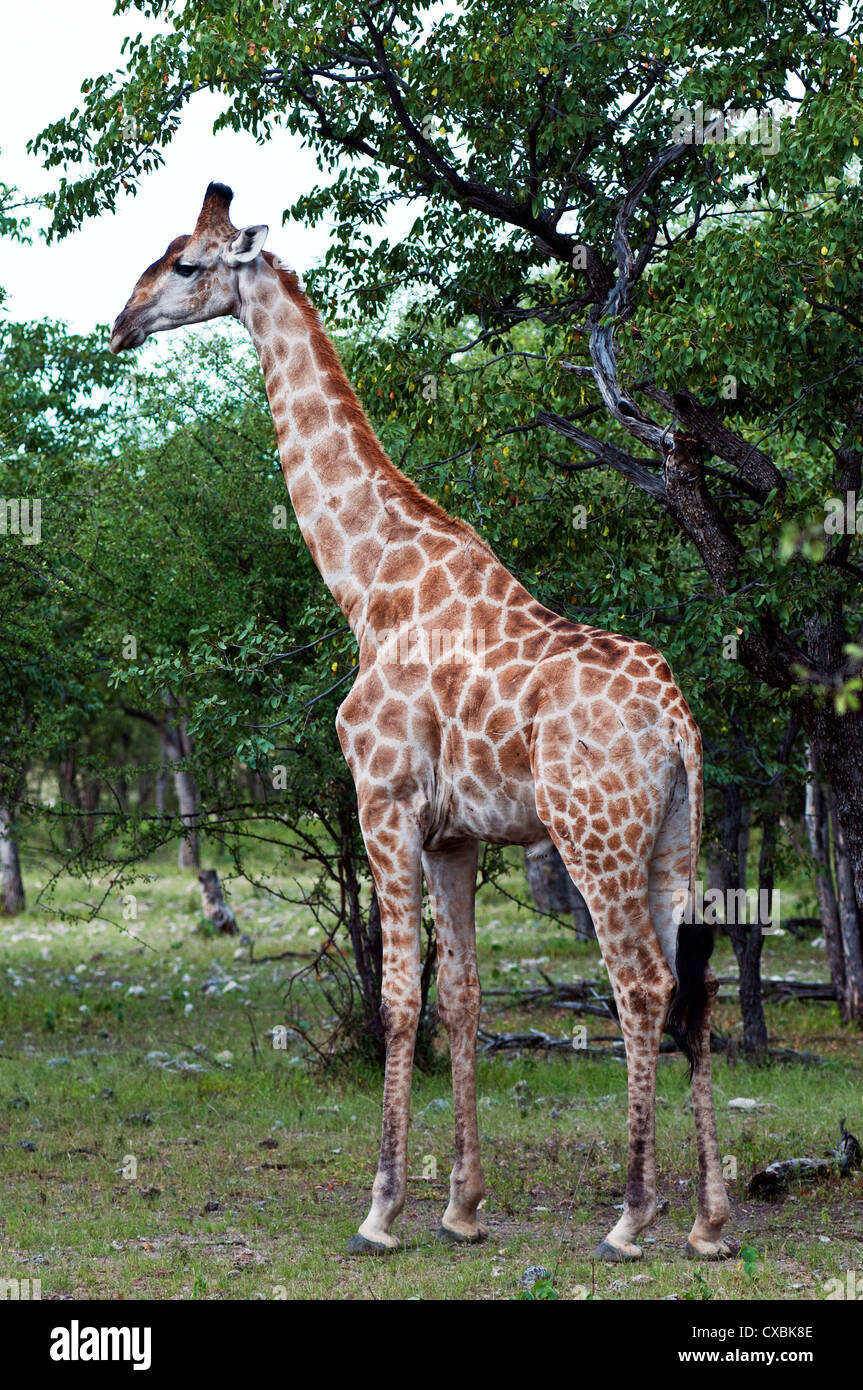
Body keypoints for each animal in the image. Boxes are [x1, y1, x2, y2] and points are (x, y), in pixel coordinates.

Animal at [109, 183, 732, 1263]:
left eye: (186, 263)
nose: (120, 324)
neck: (367, 584)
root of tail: (674, 722)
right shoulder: (452, 835)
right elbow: (464, 997)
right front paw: (463, 1206)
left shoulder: (384, 800)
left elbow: (401, 997)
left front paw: (383, 1209)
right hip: (672, 838)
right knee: (691, 993)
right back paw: (704, 1221)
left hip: (595, 834)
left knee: (642, 985)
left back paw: (630, 1214)